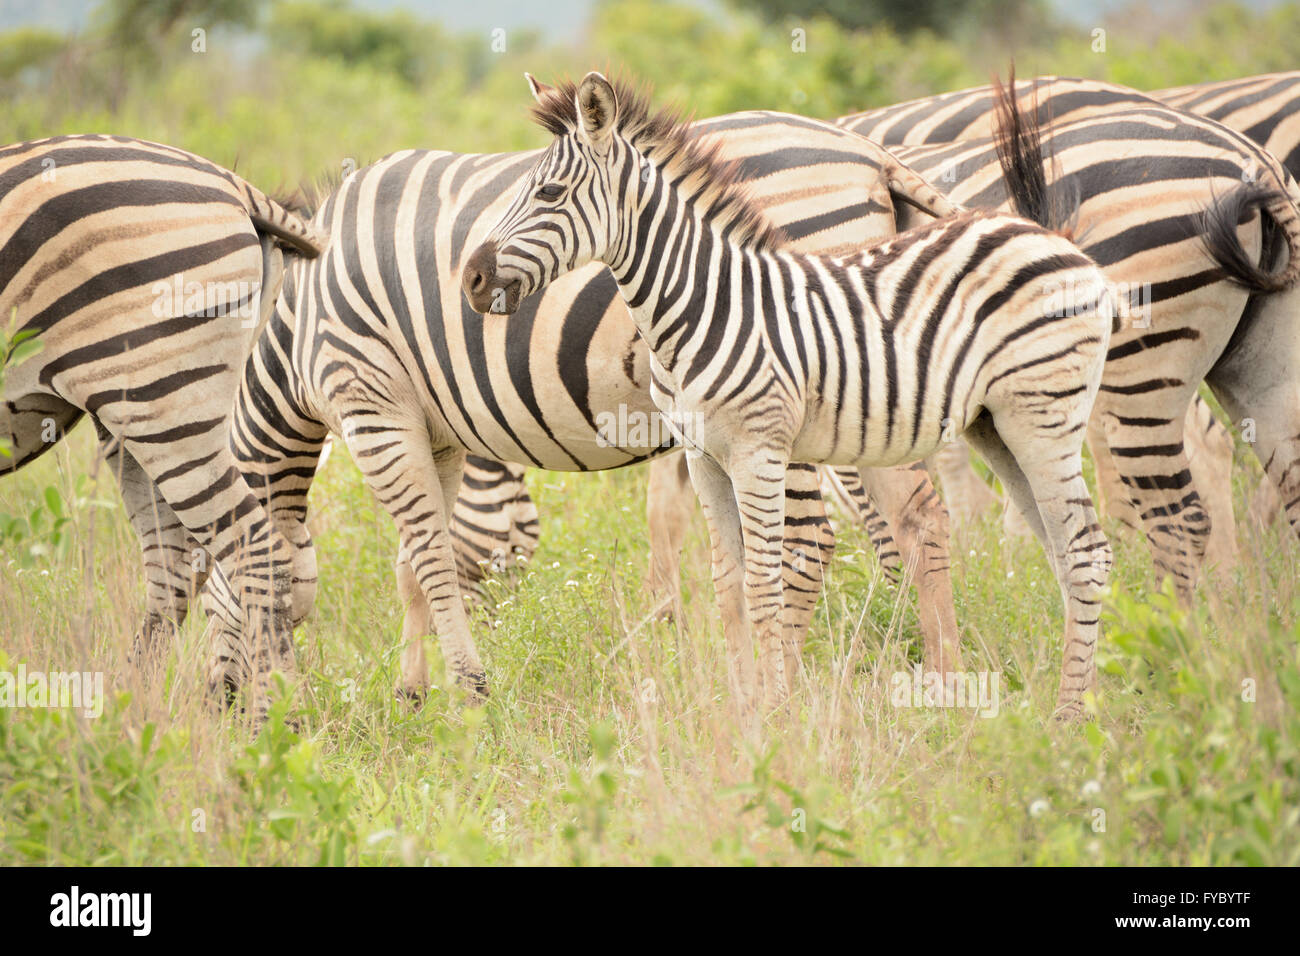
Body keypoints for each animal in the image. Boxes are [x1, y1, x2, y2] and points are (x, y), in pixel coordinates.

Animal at [0, 134, 325, 715]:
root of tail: (236, 186)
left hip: (165, 401)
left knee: (255, 553)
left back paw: (271, 726)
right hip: (134, 411)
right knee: (175, 567)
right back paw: (125, 715)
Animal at [464, 72, 1127, 719]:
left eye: (549, 193)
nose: (470, 278)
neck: (704, 306)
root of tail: (1049, 235)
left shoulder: (759, 452)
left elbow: (764, 582)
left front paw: (776, 715)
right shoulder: (703, 458)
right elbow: (726, 584)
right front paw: (742, 711)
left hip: (1043, 417)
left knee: (1086, 549)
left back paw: (1071, 719)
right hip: (995, 426)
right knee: (1060, 550)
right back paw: (1074, 704)